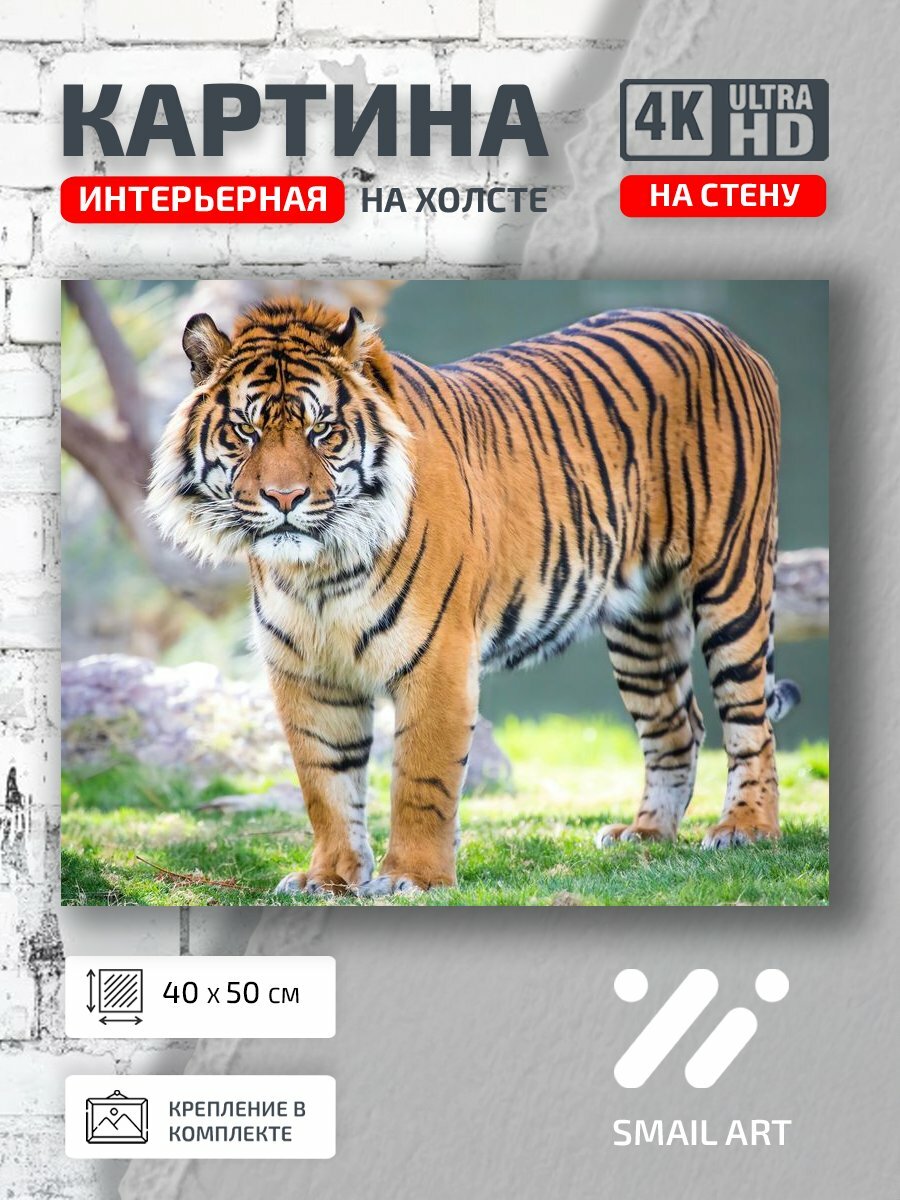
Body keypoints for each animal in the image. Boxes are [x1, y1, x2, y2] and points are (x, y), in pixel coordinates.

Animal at [147, 297, 800, 897]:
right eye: (246, 431)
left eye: (322, 430)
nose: (284, 498)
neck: (319, 572)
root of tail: (720, 330)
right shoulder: (306, 673)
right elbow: (325, 784)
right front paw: (328, 877)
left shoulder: (437, 658)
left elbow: (421, 779)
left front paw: (412, 878)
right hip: (642, 619)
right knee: (677, 724)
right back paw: (645, 834)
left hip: (731, 579)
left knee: (748, 720)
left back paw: (745, 829)